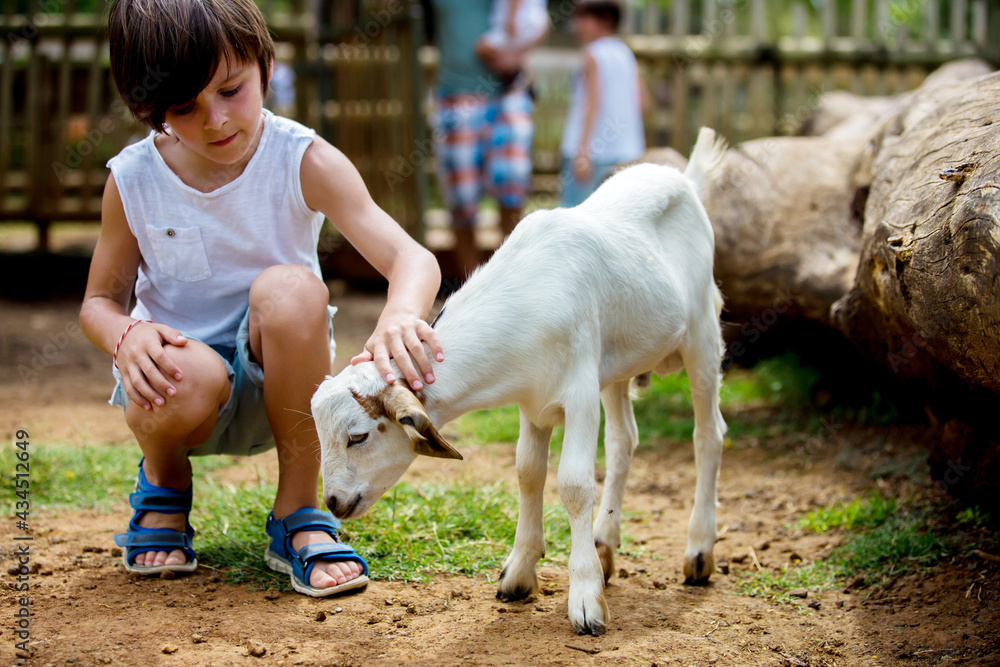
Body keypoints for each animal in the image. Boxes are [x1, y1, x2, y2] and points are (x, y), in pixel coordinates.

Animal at [311, 128, 728, 636]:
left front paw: (585, 598)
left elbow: (573, 483)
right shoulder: (534, 401)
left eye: (358, 437)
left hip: (702, 332)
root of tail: (683, 177)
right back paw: (605, 545)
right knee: (624, 441)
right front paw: (520, 573)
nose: (333, 501)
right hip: (617, 361)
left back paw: (698, 552)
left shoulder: (579, 394)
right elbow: (529, 472)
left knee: (708, 435)